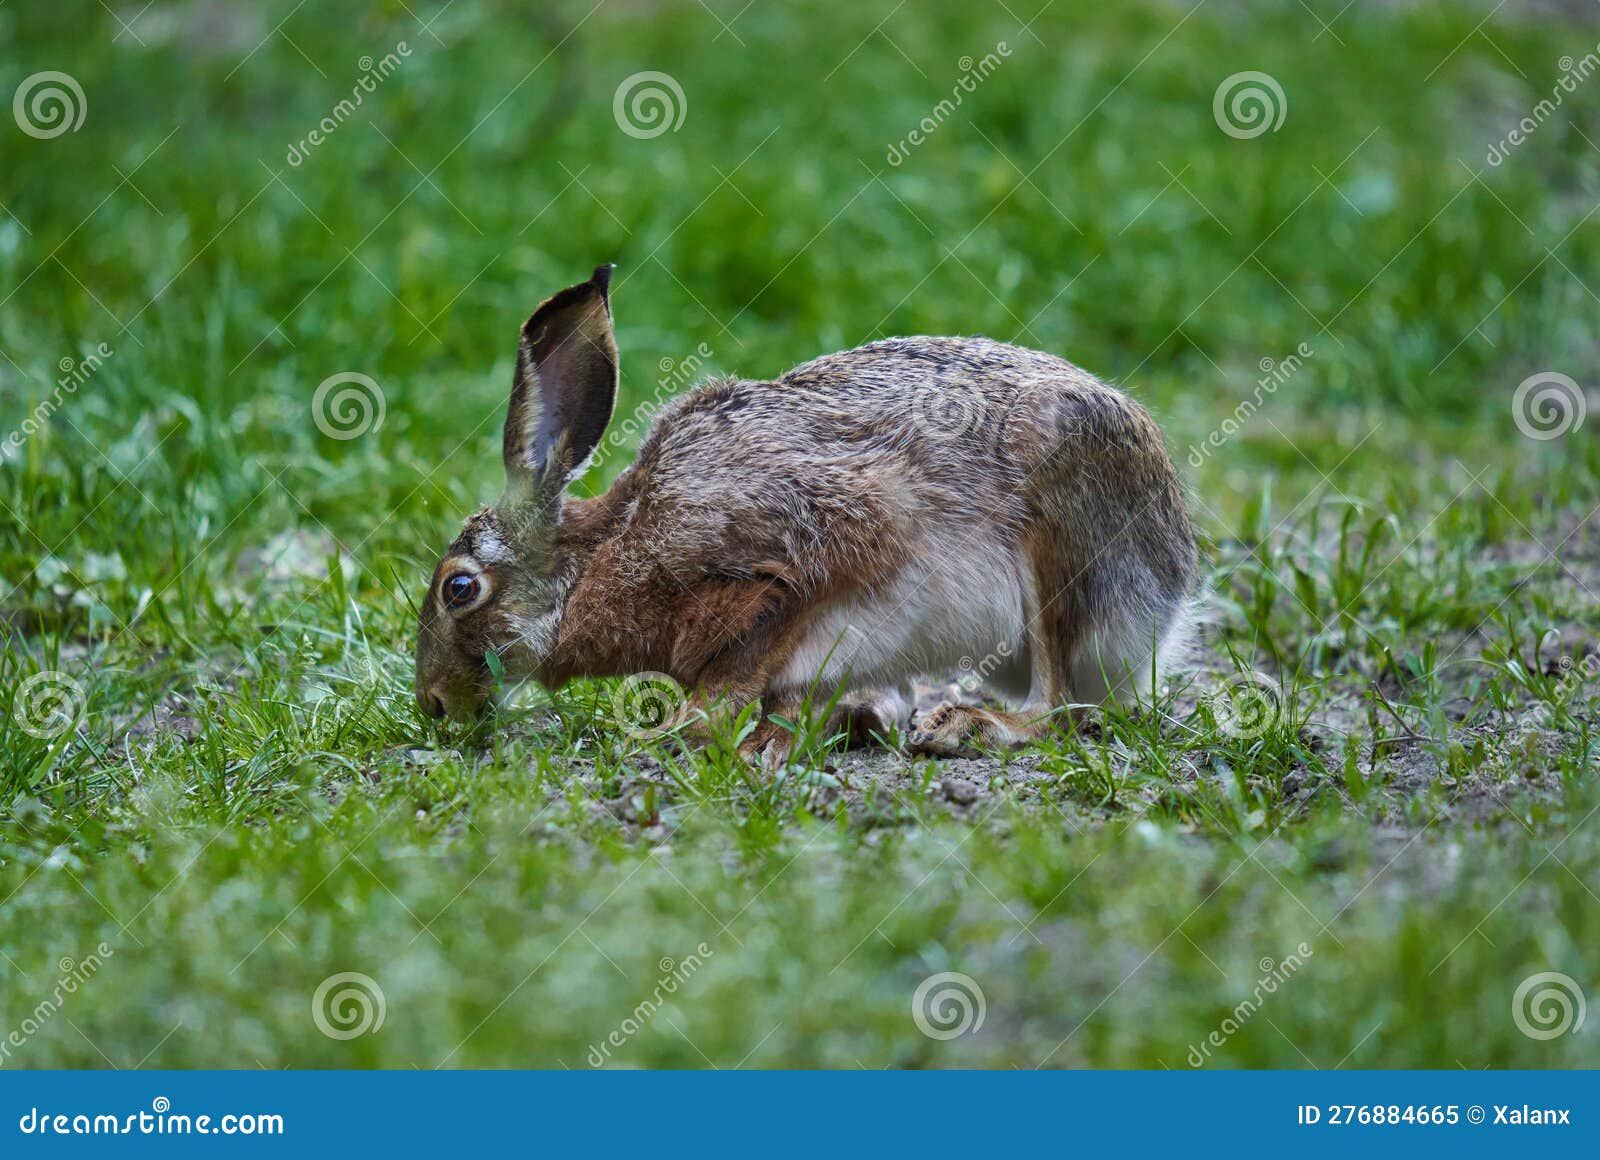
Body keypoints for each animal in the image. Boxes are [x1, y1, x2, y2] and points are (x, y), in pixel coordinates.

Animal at [415, 264, 1197, 760]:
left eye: (460, 588)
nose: (433, 704)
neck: (601, 557)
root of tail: (1167, 597)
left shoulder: (814, 553)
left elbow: (747, 660)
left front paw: (701, 728)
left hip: (1058, 544)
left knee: (1059, 707)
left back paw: (963, 726)